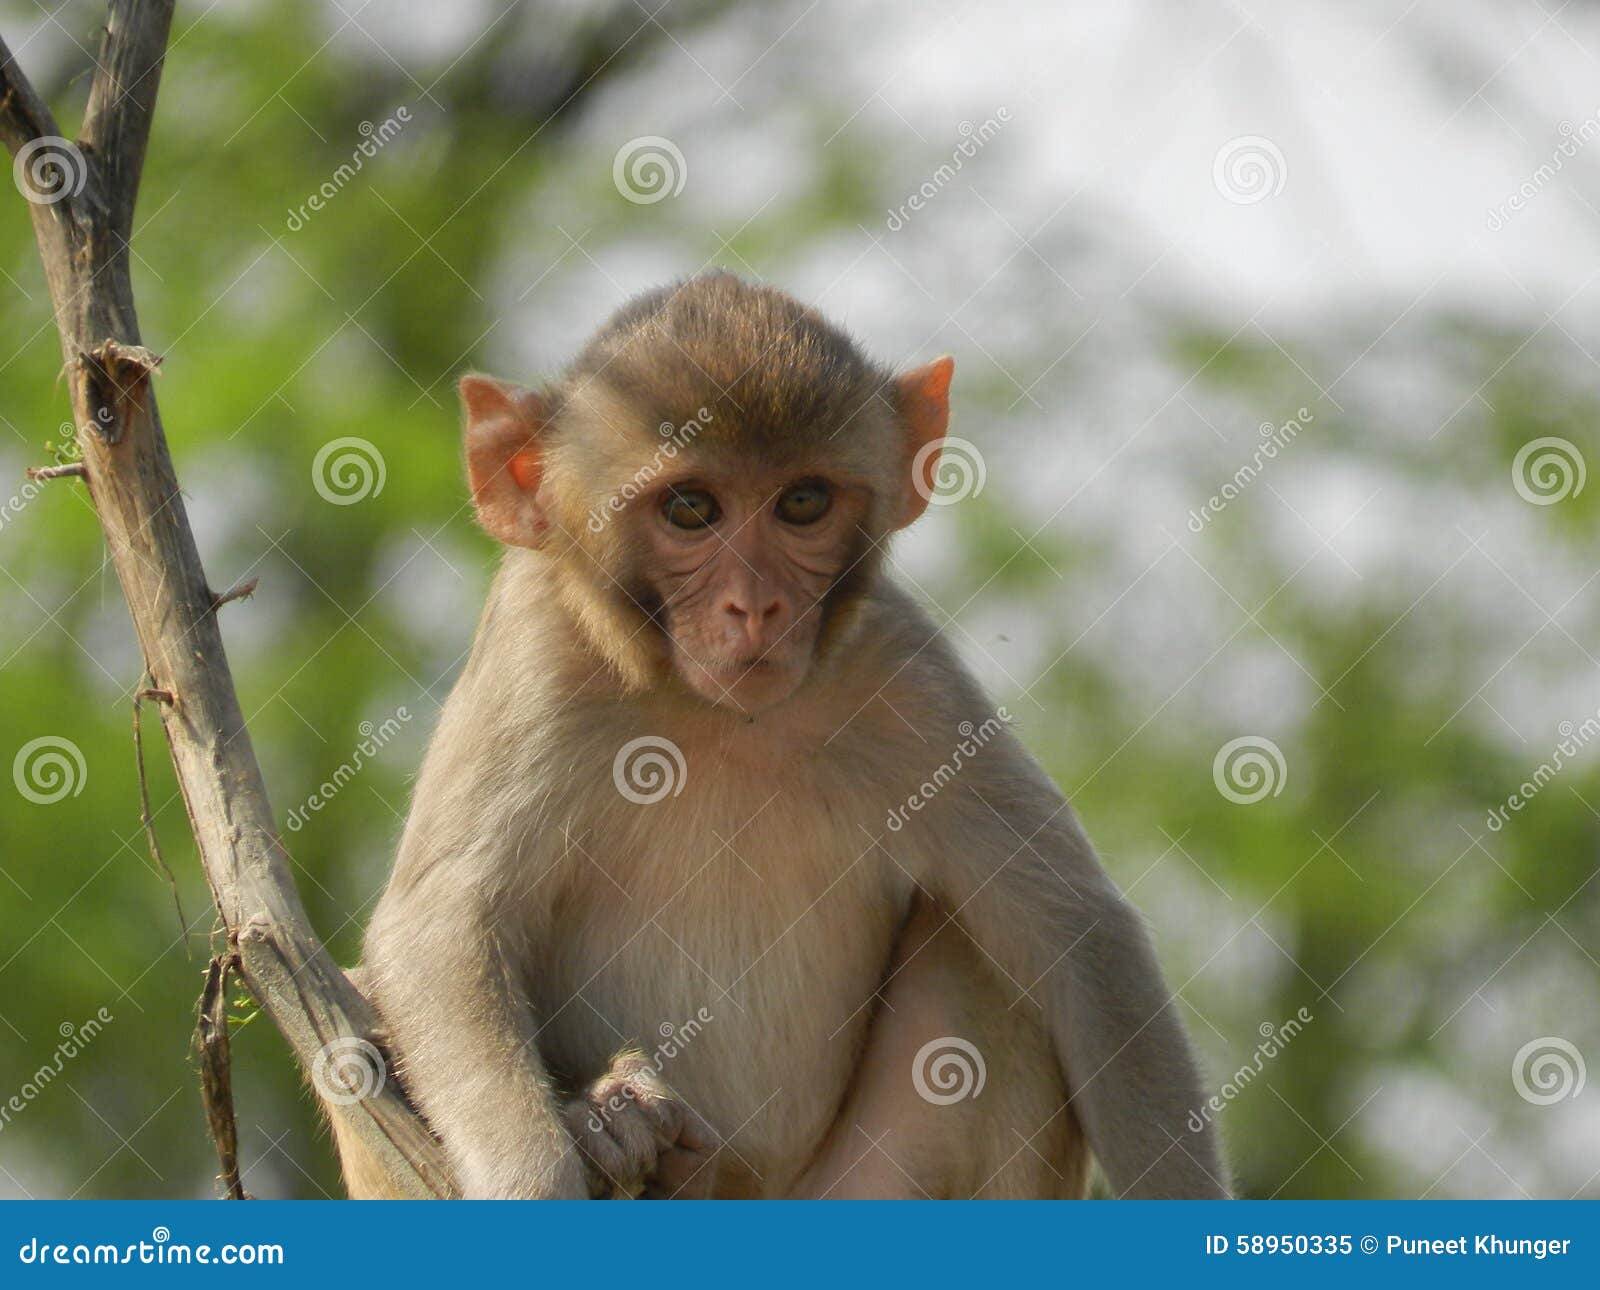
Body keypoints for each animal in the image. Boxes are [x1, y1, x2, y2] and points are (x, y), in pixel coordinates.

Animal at [324, 271, 1228, 1200]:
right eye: (691, 508)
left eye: (802, 502)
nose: (755, 606)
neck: (715, 712)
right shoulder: (533, 654)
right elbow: (439, 928)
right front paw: (547, 1170)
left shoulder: (907, 673)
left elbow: (1078, 936)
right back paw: (613, 1124)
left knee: (981, 949)